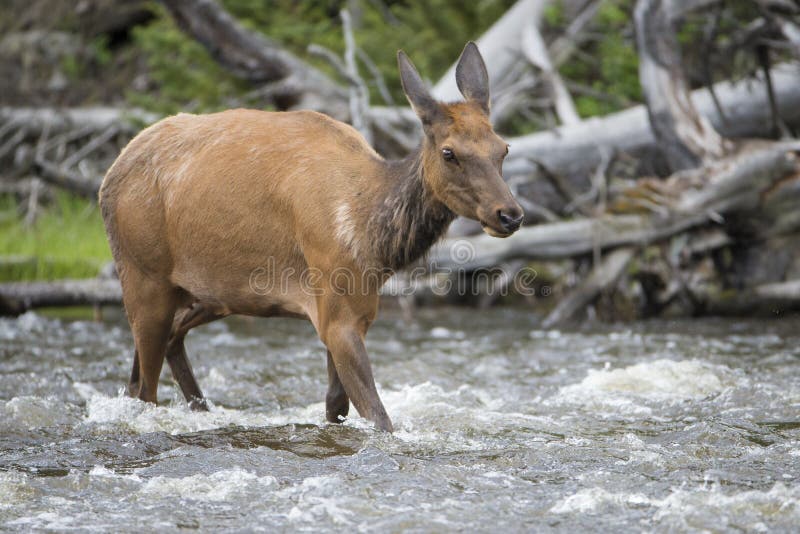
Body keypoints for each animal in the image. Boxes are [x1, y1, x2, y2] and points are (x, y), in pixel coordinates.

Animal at [99, 42, 523, 432]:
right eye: (450, 153)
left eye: (503, 148)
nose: (510, 214)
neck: (374, 239)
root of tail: (110, 174)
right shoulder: (338, 314)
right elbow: (377, 416)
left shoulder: (350, 312)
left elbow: (335, 405)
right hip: (143, 277)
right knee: (146, 388)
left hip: (210, 291)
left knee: (161, 353)